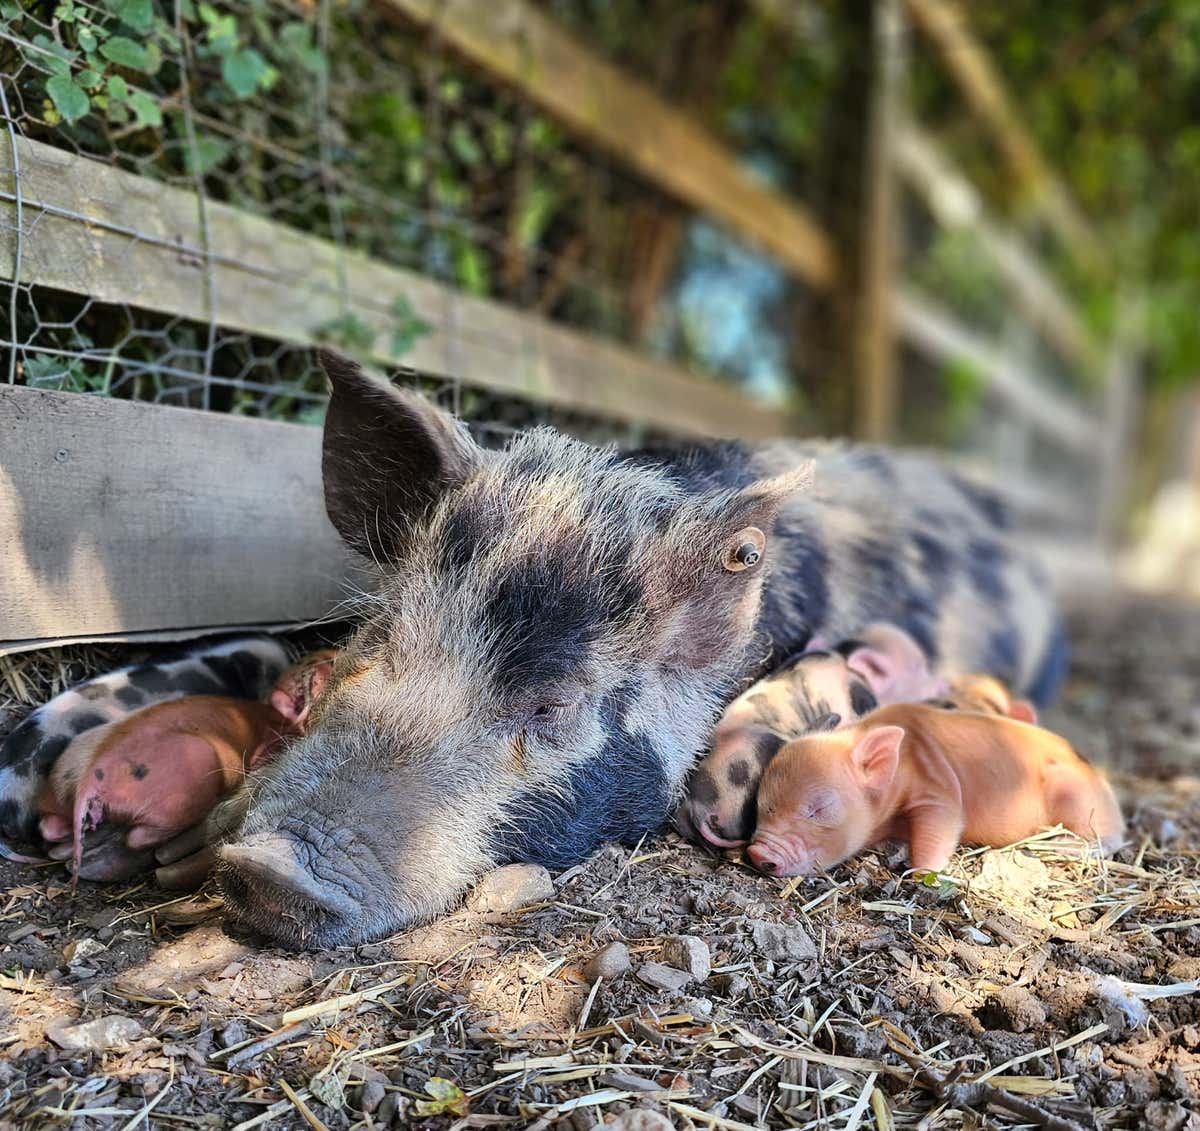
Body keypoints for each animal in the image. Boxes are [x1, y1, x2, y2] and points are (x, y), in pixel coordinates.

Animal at [38, 651, 335, 882]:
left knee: (50, 829)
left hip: (59, 794)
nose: (328, 653)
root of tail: (90, 778)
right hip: (196, 763)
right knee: (138, 837)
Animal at [747, 703, 1124, 877]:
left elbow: (941, 822)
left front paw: (921, 873)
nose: (757, 853)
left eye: (818, 808)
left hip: (1076, 796)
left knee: (1109, 840)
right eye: (761, 803)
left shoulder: (937, 784)